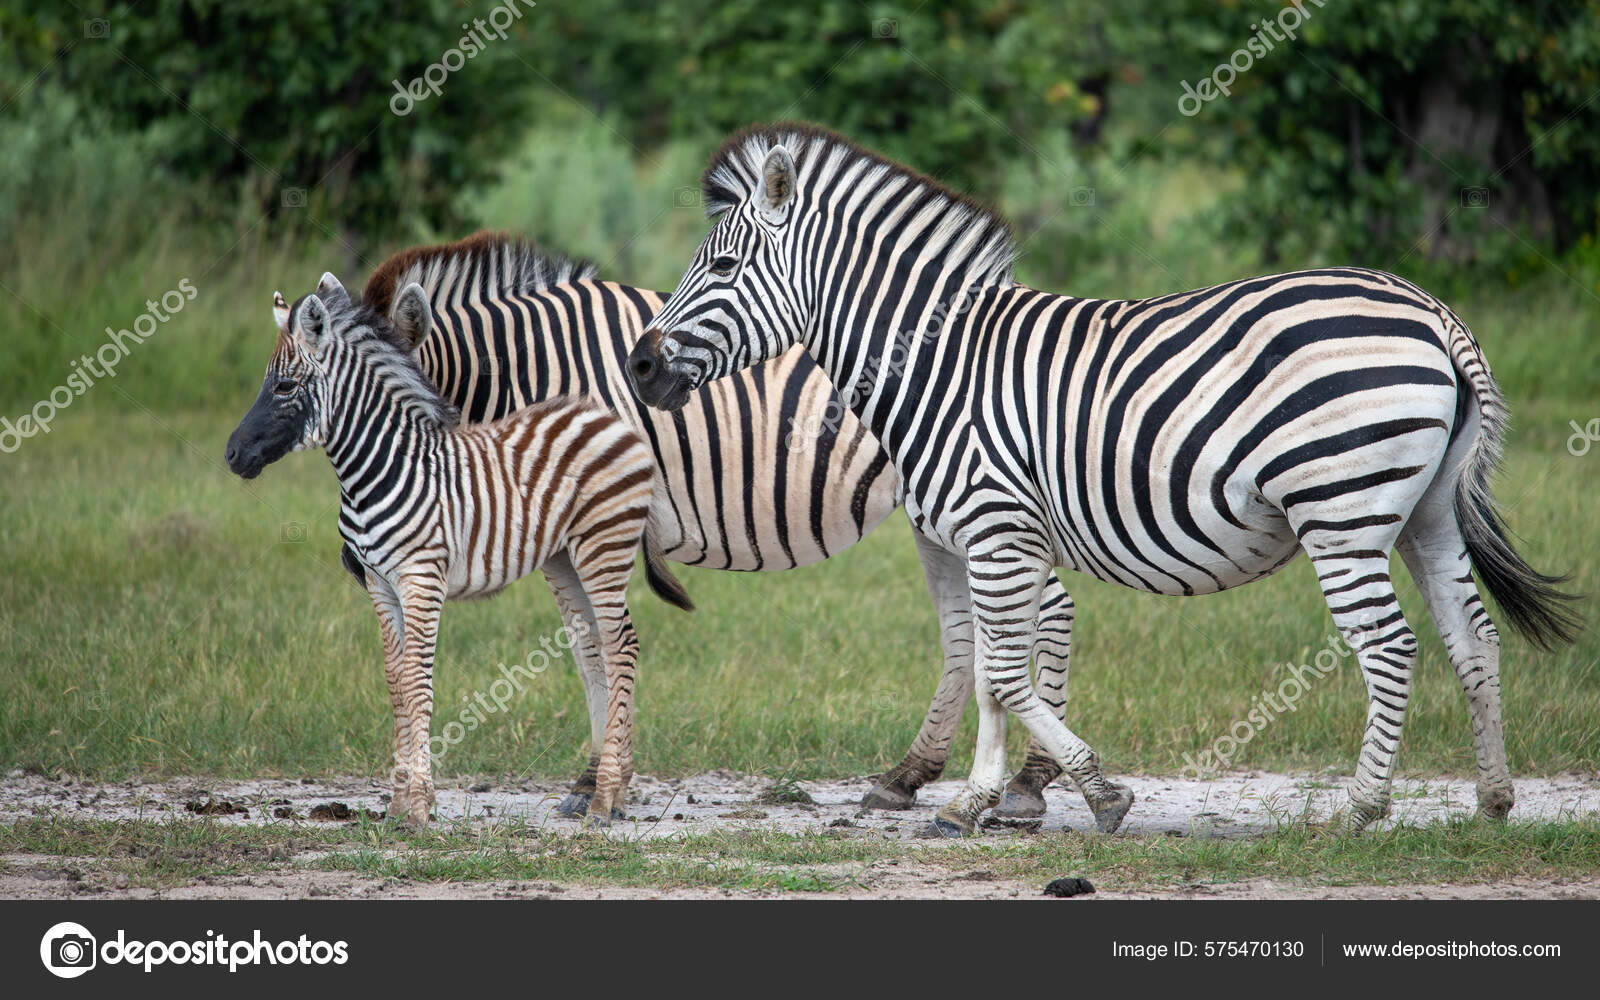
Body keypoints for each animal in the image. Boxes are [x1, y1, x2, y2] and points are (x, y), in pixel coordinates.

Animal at [224, 281, 693, 827]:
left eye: (282, 387)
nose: (231, 455)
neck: (381, 468)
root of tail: (610, 418)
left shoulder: (421, 577)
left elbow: (419, 680)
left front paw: (420, 805)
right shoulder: (380, 584)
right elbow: (396, 682)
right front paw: (398, 805)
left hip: (603, 545)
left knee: (622, 646)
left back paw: (602, 801)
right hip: (567, 555)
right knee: (601, 645)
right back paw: (611, 795)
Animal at [352, 232, 1074, 820]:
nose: (355, 565)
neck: (536, 370)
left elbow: (599, 643)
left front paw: (601, 783)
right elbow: (587, 644)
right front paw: (595, 777)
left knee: (1048, 609)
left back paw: (1029, 782)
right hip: (945, 510)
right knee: (970, 630)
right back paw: (910, 775)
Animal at [626, 122, 1582, 836]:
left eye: (720, 267)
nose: (638, 368)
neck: (935, 362)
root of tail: (1434, 313)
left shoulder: (997, 530)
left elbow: (1004, 672)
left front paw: (1090, 792)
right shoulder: (990, 540)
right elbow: (991, 672)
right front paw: (978, 799)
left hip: (1340, 511)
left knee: (1390, 648)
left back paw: (1359, 811)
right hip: (1424, 511)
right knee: (1472, 640)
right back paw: (1493, 801)